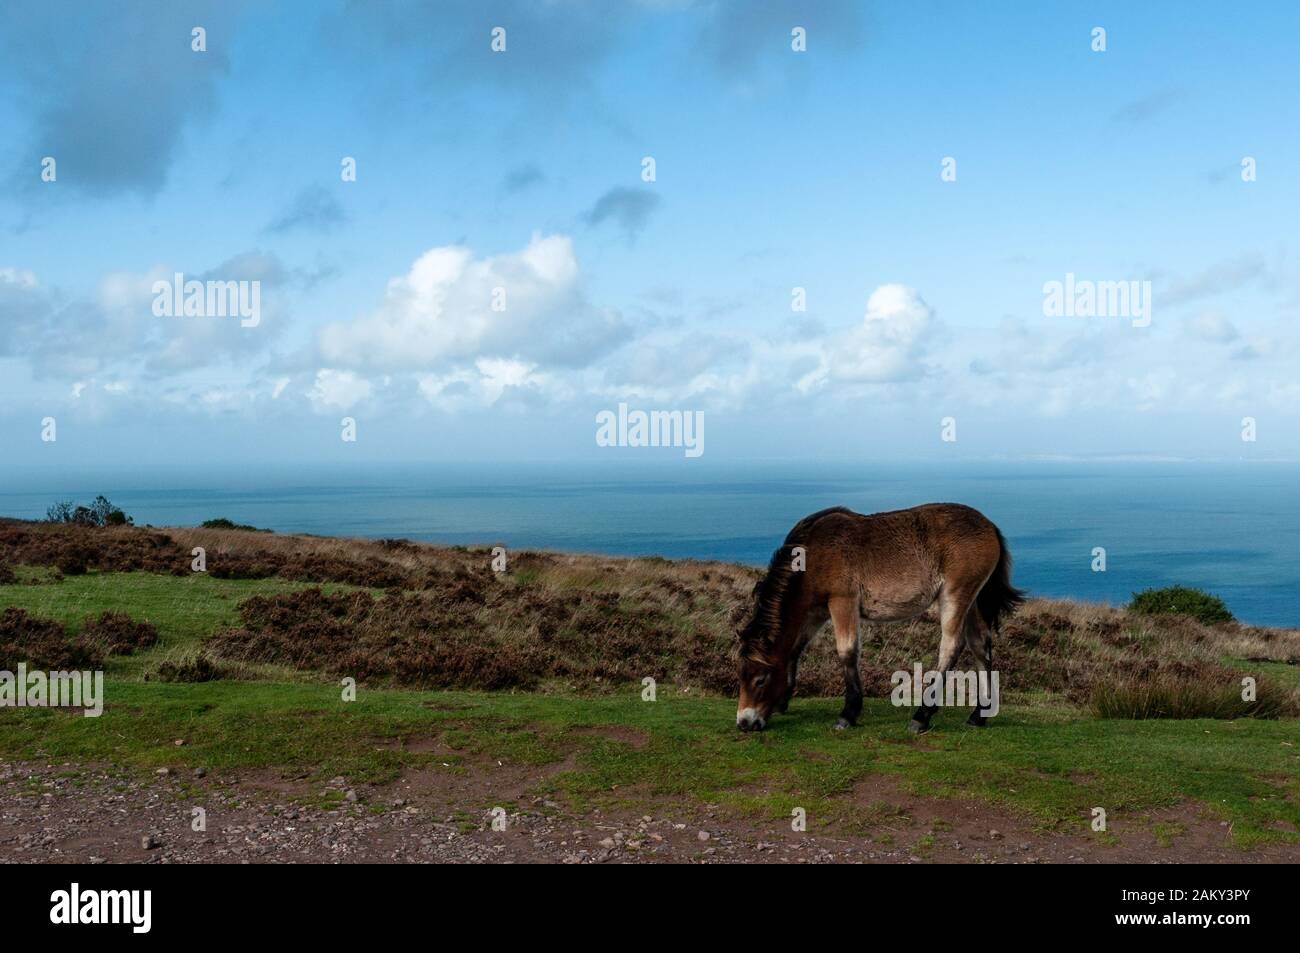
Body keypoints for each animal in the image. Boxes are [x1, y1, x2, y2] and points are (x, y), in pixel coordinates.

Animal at [735, 503, 1024, 734]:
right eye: (741, 677)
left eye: (760, 679)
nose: (744, 722)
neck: (811, 555)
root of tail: (989, 526)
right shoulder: (815, 611)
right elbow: (795, 649)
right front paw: (784, 701)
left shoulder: (842, 602)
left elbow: (847, 652)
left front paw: (848, 714)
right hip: (973, 601)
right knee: (980, 646)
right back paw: (979, 715)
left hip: (956, 595)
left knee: (952, 646)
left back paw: (921, 716)